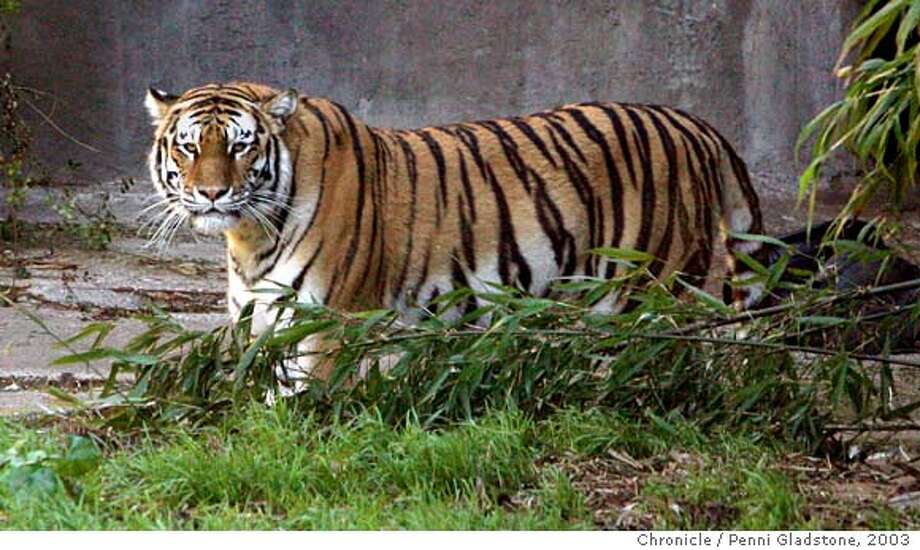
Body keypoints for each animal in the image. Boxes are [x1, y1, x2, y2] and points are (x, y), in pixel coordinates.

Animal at [144, 81, 765, 390]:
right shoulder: (259, 317)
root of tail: (696, 125)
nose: (211, 194)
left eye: (241, 146)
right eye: (190, 146)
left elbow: (299, 392)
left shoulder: (326, 319)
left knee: (664, 353)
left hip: (641, 292)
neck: (249, 235)